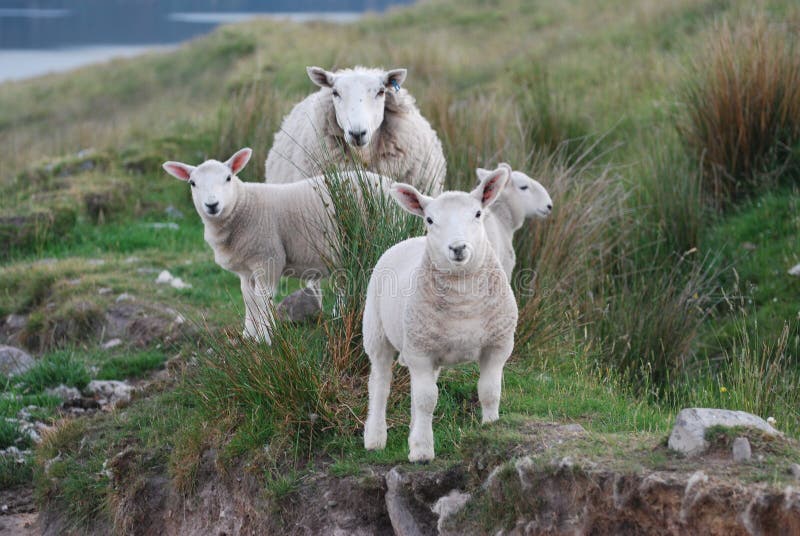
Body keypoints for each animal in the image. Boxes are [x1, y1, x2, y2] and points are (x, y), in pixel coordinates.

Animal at [162, 147, 390, 344]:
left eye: (228, 178)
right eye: (192, 183)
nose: (212, 205)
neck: (242, 206)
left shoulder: (269, 258)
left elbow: (263, 299)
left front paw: (265, 338)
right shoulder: (245, 269)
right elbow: (249, 299)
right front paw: (248, 335)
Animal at [362, 168, 519, 462]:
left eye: (478, 214)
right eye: (430, 219)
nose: (457, 248)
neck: (464, 300)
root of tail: (410, 240)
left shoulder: (497, 347)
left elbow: (489, 392)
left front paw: (491, 428)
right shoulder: (420, 352)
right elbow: (427, 401)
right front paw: (422, 450)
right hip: (377, 333)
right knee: (380, 384)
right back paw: (375, 438)